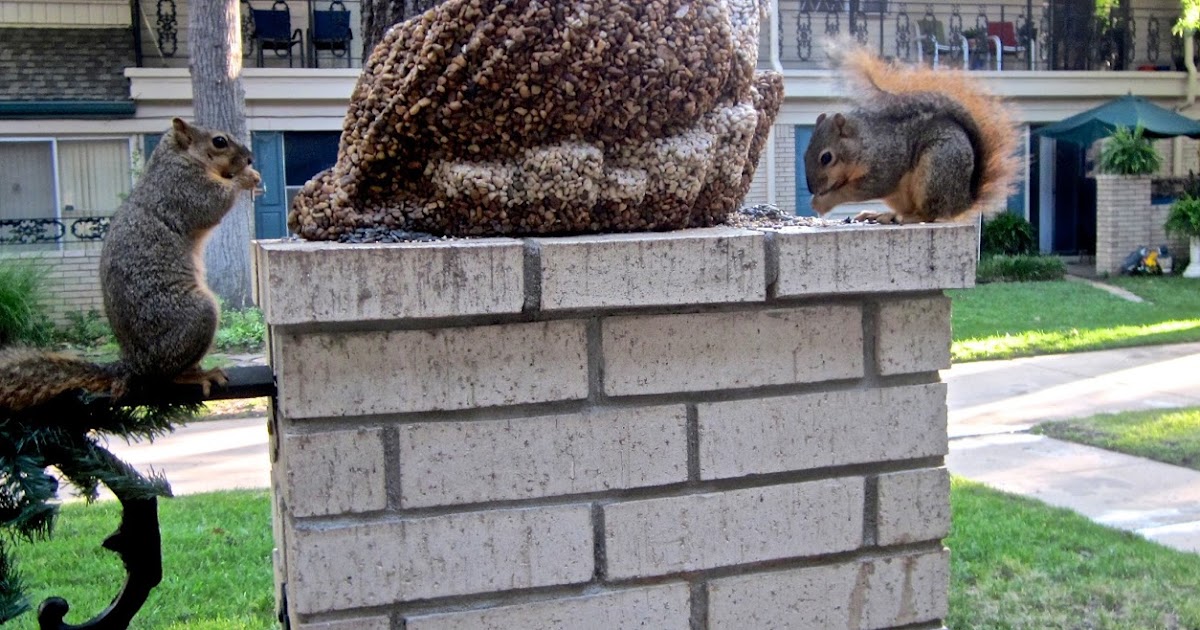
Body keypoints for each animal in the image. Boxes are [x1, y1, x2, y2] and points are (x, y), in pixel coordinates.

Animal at [0, 118, 261, 412]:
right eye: (219, 141)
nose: (250, 158)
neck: (178, 157)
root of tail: (136, 364)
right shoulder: (183, 188)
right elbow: (212, 203)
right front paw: (247, 177)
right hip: (195, 316)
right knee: (165, 376)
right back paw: (198, 375)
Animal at [804, 45, 1021, 224]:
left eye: (826, 158)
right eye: (804, 155)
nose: (812, 189)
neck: (864, 142)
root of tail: (964, 200)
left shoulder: (885, 163)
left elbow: (860, 189)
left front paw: (822, 202)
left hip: (935, 170)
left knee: (930, 213)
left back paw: (909, 218)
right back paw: (880, 214)